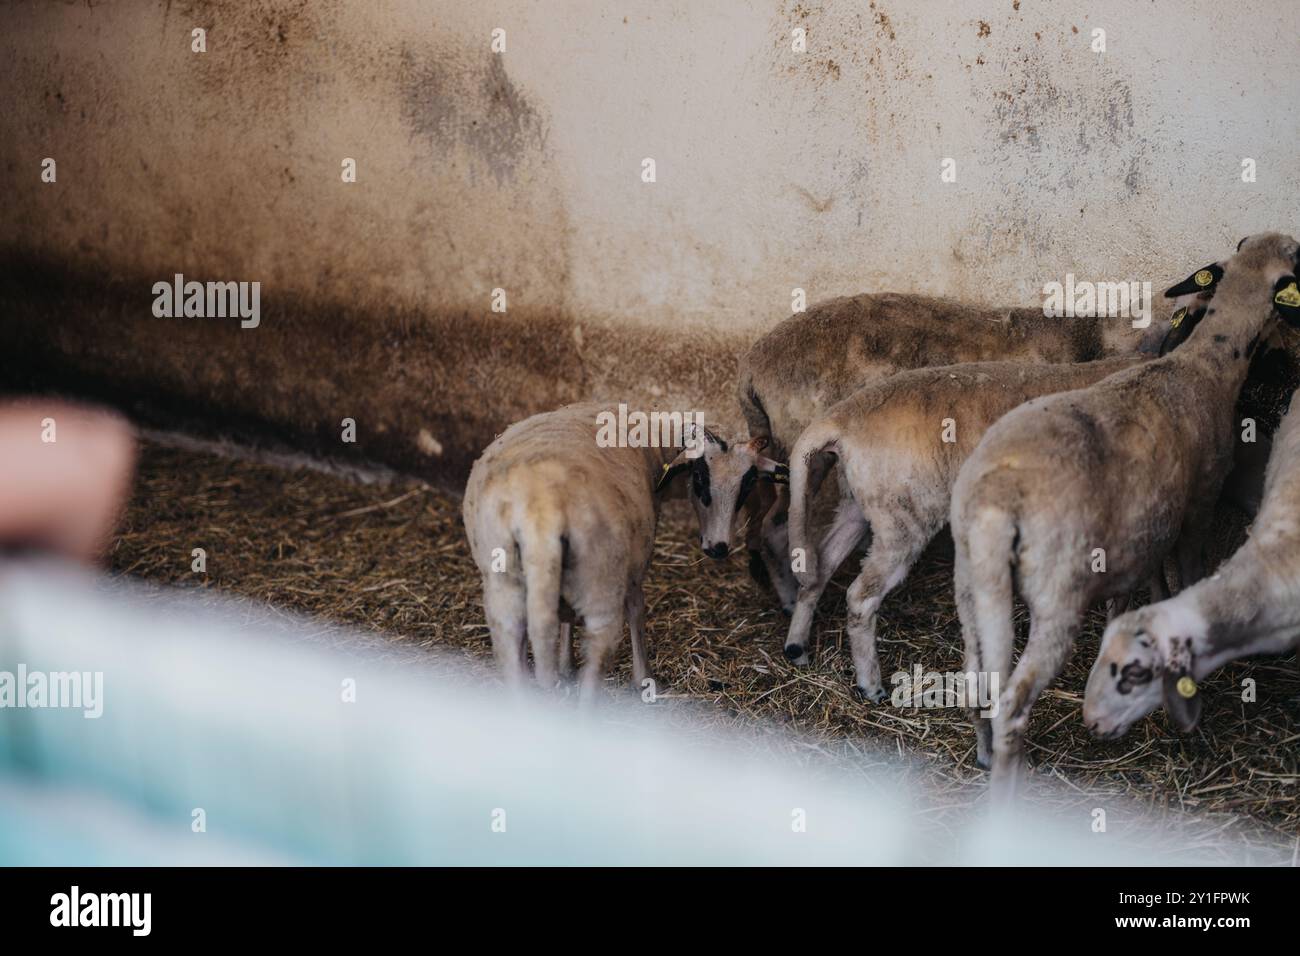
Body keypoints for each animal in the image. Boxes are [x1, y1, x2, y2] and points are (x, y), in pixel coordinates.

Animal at [462, 402, 691, 699]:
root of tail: (542, 513)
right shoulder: (633, 569)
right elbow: (636, 610)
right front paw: (644, 678)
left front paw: (565, 664)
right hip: (600, 577)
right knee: (597, 653)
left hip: (504, 582)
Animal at [783, 355, 1143, 699]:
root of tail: (841, 417)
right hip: (903, 515)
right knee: (860, 597)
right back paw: (871, 686)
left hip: (857, 504)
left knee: (818, 568)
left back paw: (797, 648)